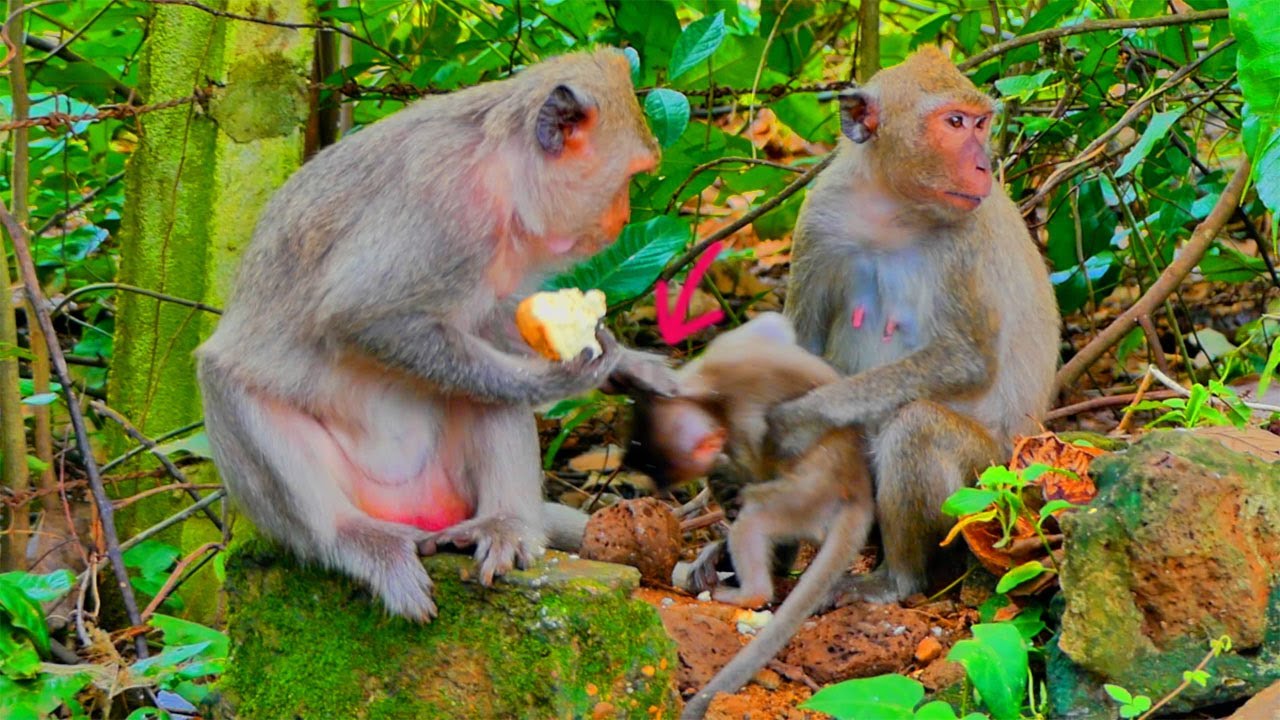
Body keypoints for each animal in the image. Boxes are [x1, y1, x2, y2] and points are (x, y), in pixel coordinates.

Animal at [196, 49, 666, 622]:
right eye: (630, 177)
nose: (623, 218)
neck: (503, 172)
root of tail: (418, 514)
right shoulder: (444, 208)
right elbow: (361, 315)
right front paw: (554, 381)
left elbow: (494, 321)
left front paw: (630, 366)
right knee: (230, 384)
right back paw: (357, 539)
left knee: (482, 391)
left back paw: (504, 524)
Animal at [622, 313, 875, 720]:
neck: (703, 388)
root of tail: (858, 489)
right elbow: (773, 325)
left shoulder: (743, 424)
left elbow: (760, 458)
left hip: (806, 498)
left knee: (756, 516)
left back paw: (750, 591)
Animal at [767, 46, 1061, 606]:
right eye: (954, 123)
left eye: (981, 123)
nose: (983, 164)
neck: (893, 208)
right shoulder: (819, 217)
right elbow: (803, 344)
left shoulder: (966, 239)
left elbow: (967, 360)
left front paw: (806, 415)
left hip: (991, 483)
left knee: (917, 428)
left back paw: (896, 577)